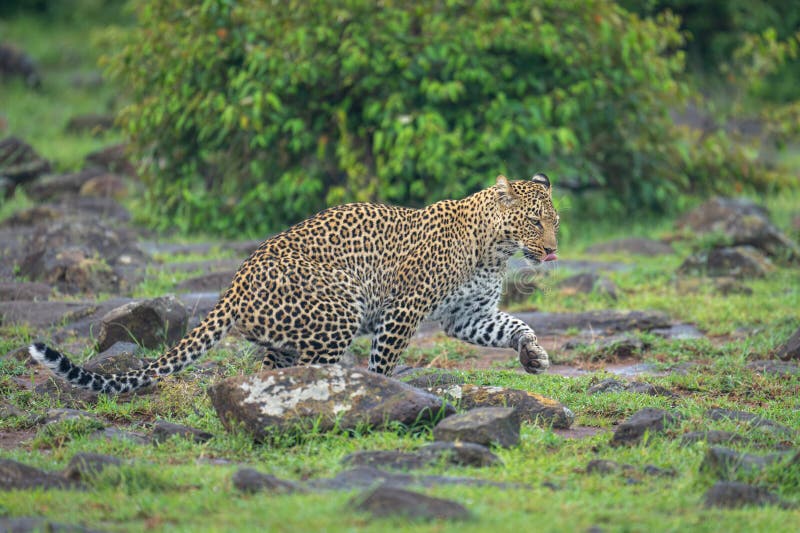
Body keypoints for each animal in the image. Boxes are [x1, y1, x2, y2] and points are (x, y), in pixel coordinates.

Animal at [29, 173, 559, 394]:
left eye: (556, 222)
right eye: (534, 222)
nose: (553, 250)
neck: (495, 250)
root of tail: (236, 281)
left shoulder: (467, 316)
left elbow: (512, 325)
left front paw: (533, 355)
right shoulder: (404, 309)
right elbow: (384, 360)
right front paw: (386, 392)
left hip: (290, 334)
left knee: (273, 372)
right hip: (338, 310)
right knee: (313, 369)